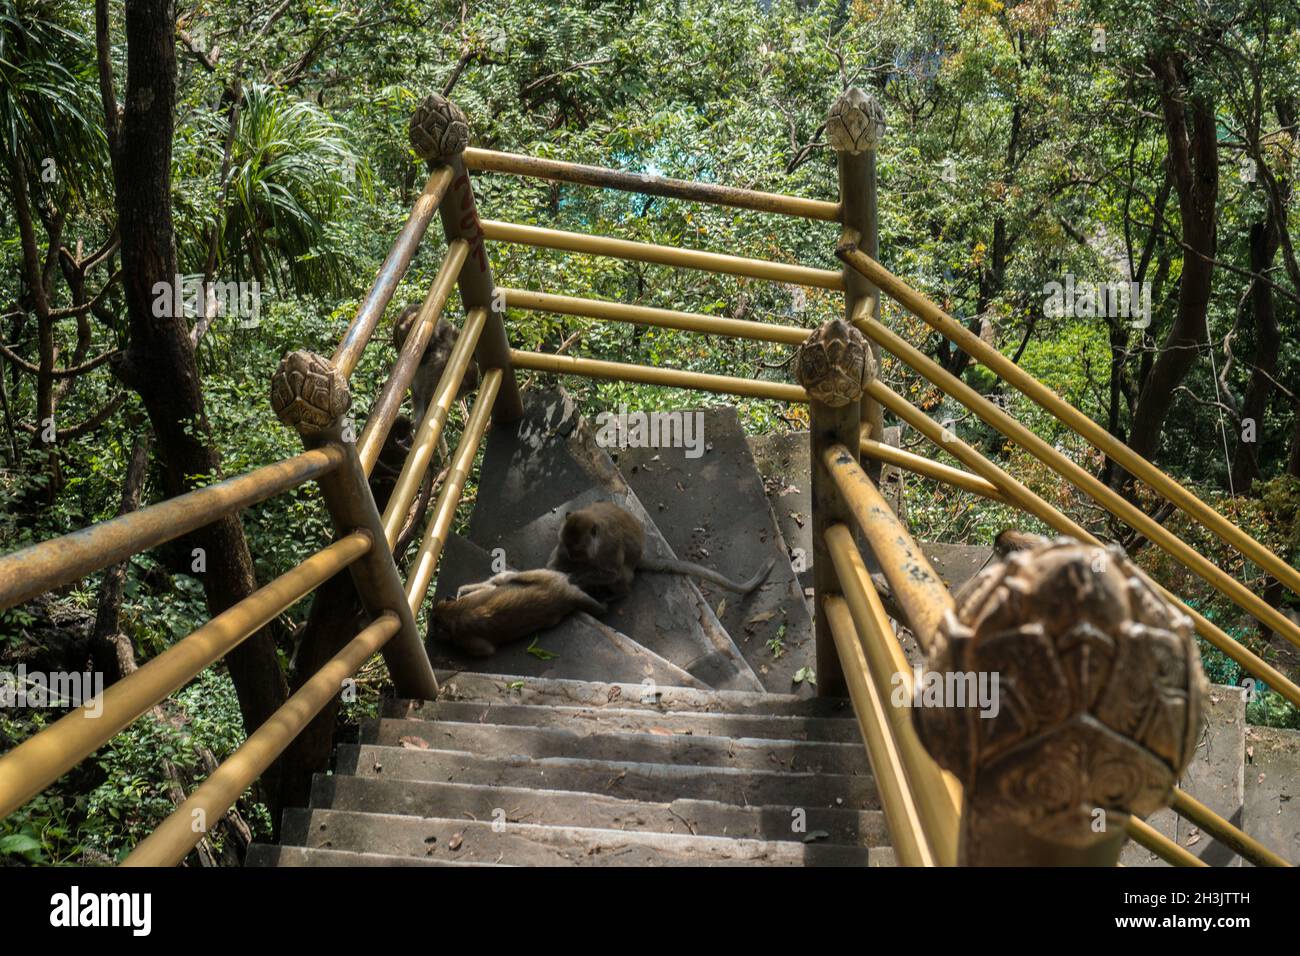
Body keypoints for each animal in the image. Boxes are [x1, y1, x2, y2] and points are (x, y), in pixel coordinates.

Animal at [429, 569, 607, 657]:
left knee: (508, 577)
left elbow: (487, 651)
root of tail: (565, 593)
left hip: (546, 576)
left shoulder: (465, 638)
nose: (433, 632)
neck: (453, 613)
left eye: (435, 623)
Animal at [547, 501, 776, 602]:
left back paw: (617, 595)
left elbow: (612, 573)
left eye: (577, 549)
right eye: (566, 544)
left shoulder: (608, 548)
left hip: (627, 567)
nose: (570, 555)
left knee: (621, 576)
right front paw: (554, 570)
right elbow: (557, 559)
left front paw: (578, 578)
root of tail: (639, 558)